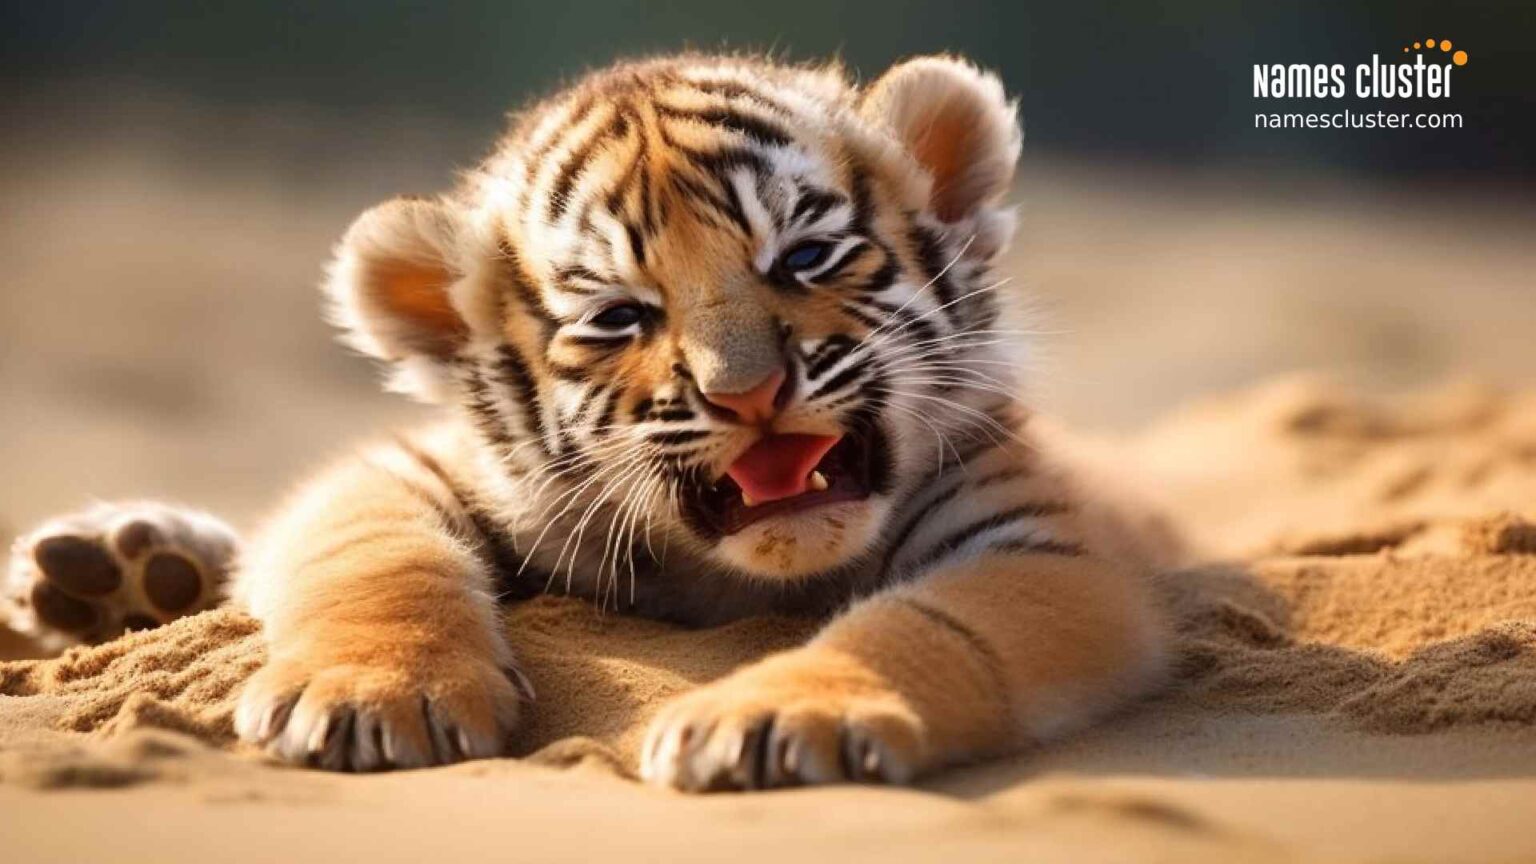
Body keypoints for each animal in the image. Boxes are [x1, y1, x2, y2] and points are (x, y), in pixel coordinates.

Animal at [1, 52, 1176, 790]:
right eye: (620, 316)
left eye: (804, 258)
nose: (746, 391)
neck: (740, 578)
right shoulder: (413, 467)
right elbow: (374, 553)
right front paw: (376, 694)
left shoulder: (1038, 544)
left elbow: (920, 624)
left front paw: (777, 717)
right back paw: (109, 568)